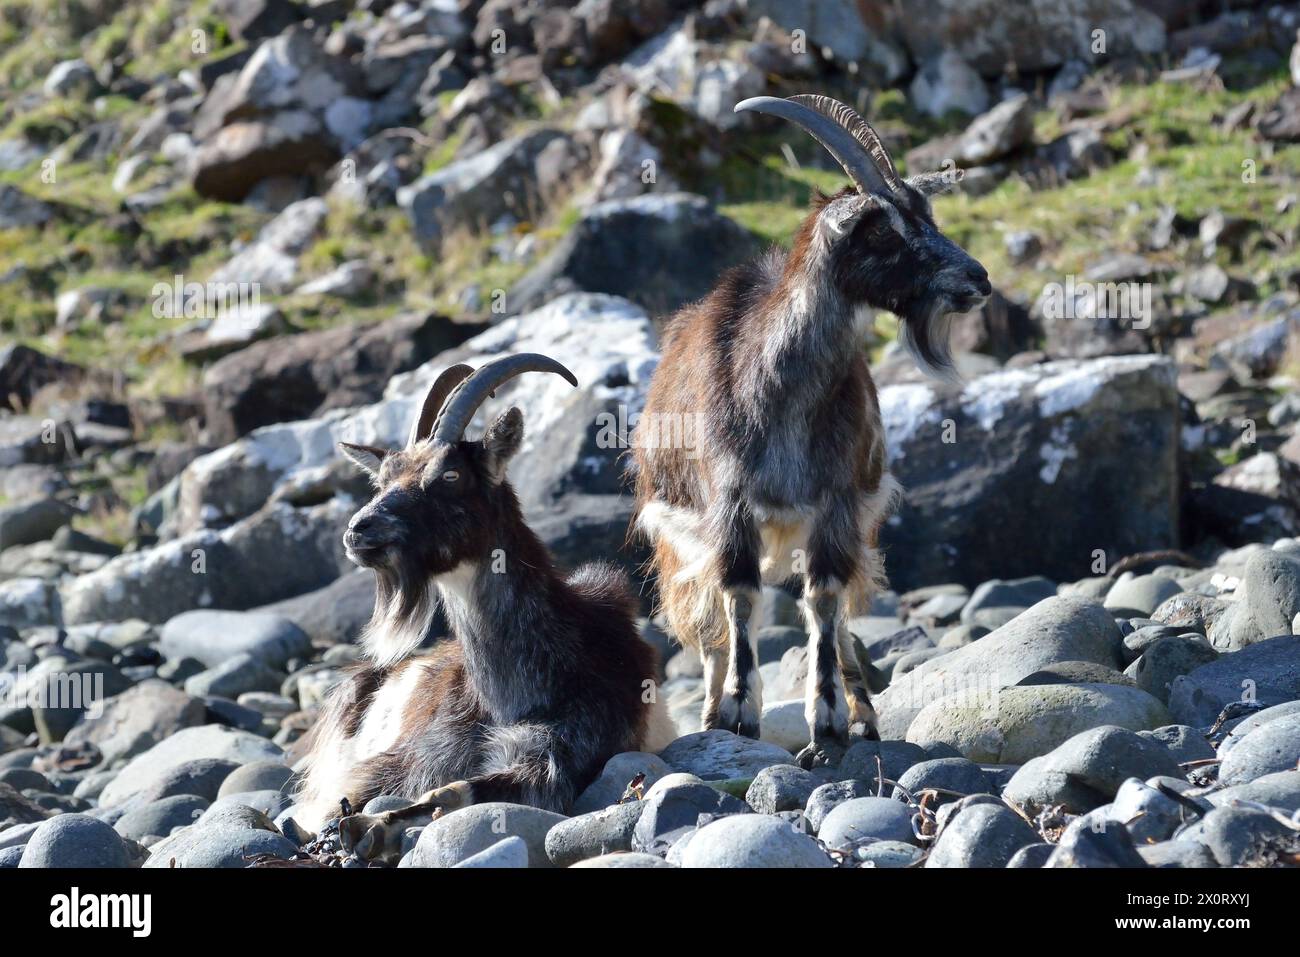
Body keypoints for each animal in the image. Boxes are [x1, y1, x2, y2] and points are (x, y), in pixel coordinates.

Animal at [296, 353, 676, 860]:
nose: (359, 530)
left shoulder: (562, 757)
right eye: (383, 478)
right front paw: (352, 825)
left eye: (449, 475)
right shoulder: (401, 758)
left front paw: (368, 828)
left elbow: (457, 791)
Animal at [632, 94, 991, 769]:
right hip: (678, 536)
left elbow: (824, 600)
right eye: (883, 231)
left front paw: (828, 723)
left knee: (841, 609)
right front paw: (740, 713)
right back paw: (711, 713)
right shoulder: (730, 504)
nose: (978, 279)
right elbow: (740, 596)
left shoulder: (839, 503)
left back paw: (865, 715)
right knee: (709, 623)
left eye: (926, 216)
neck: (782, 395)